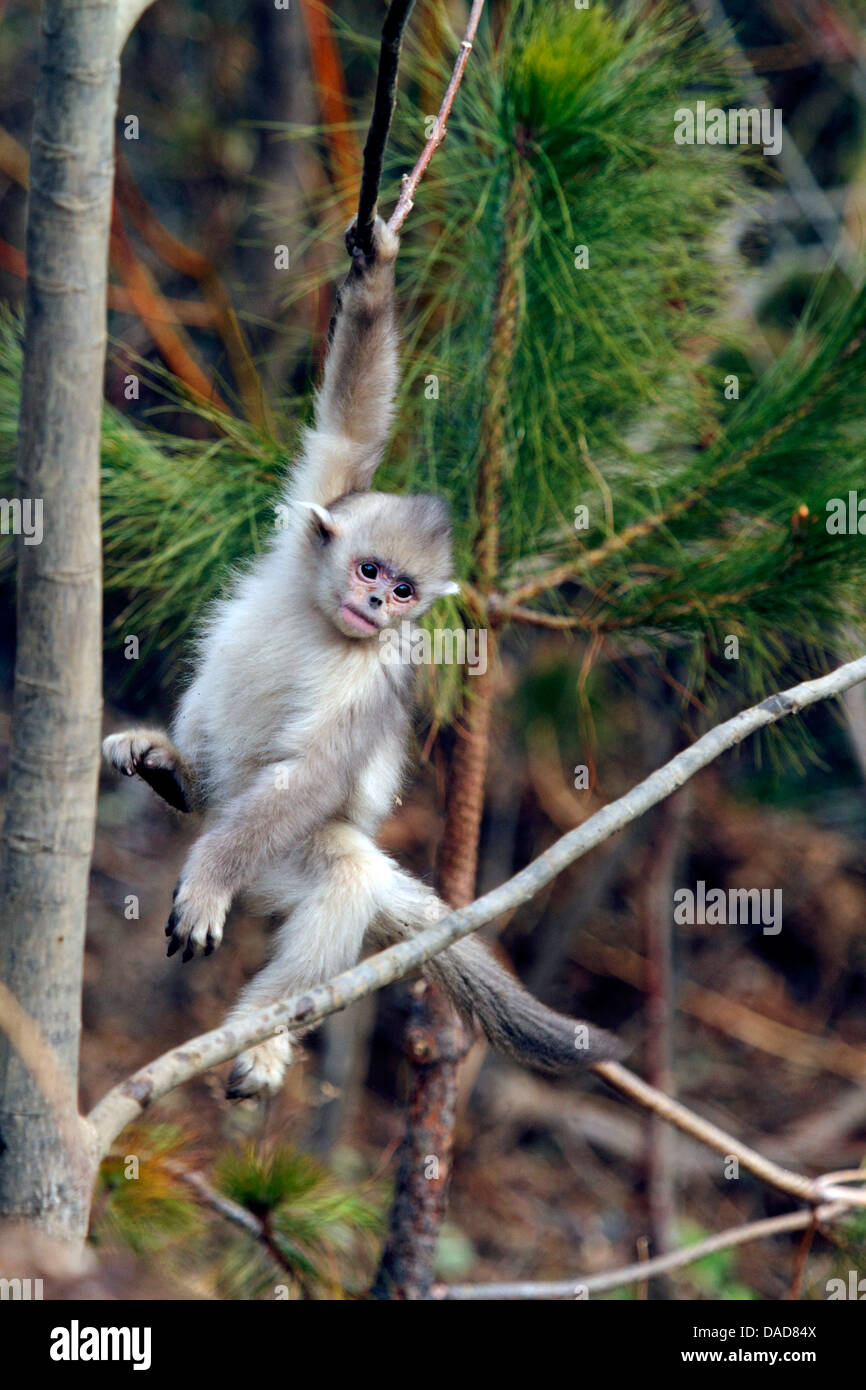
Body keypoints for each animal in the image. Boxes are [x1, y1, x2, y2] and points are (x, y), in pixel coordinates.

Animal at [103, 216, 625, 1099]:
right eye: (370, 570)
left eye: (406, 591)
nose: (379, 606)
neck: (326, 621)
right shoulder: (320, 500)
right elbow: (350, 427)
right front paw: (375, 272)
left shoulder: (377, 680)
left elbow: (315, 771)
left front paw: (208, 881)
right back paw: (174, 768)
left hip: (288, 852)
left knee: (341, 881)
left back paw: (261, 1035)